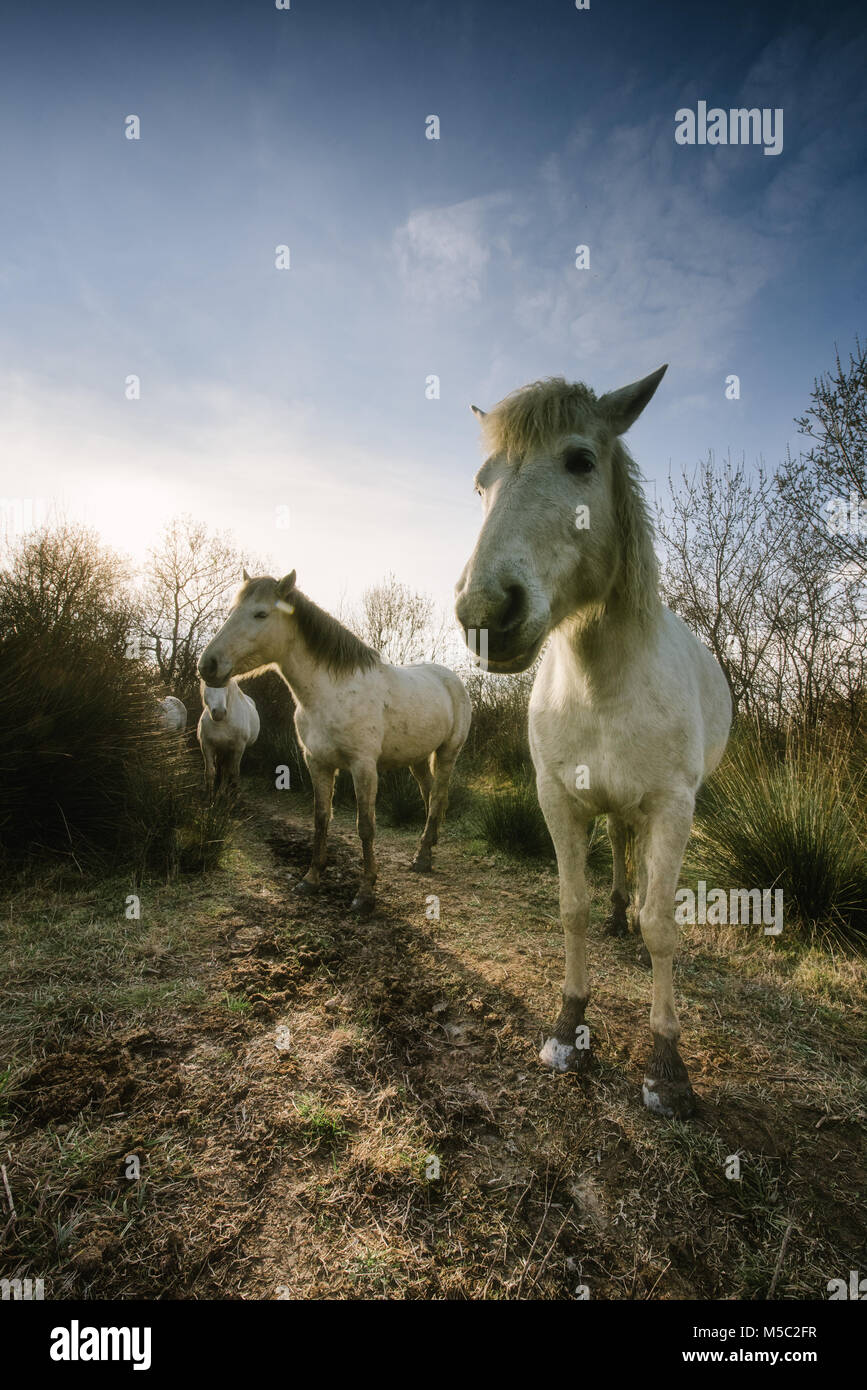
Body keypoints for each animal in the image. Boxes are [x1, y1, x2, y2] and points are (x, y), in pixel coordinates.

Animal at [198, 570, 472, 912]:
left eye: (261, 614)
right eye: (233, 610)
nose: (208, 665)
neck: (330, 693)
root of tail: (452, 680)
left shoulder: (363, 766)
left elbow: (365, 826)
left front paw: (365, 892)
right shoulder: (317, 763)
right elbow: (320, 818)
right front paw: (311, 878)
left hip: (448, 753)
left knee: (437, 797)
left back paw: (423, 859)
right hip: (418, 758)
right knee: (429, 793)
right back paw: (426, 848)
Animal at [455, 367, 731, 1118]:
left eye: (580, 460)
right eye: (481, 483)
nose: (484, 614)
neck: (602, 682)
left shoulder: (671, 807)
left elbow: (662, 925)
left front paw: (667, 1068)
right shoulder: (558, 800)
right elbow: (571, 909)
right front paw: (566, 1027)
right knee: (617, 847)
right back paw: (615, 913)